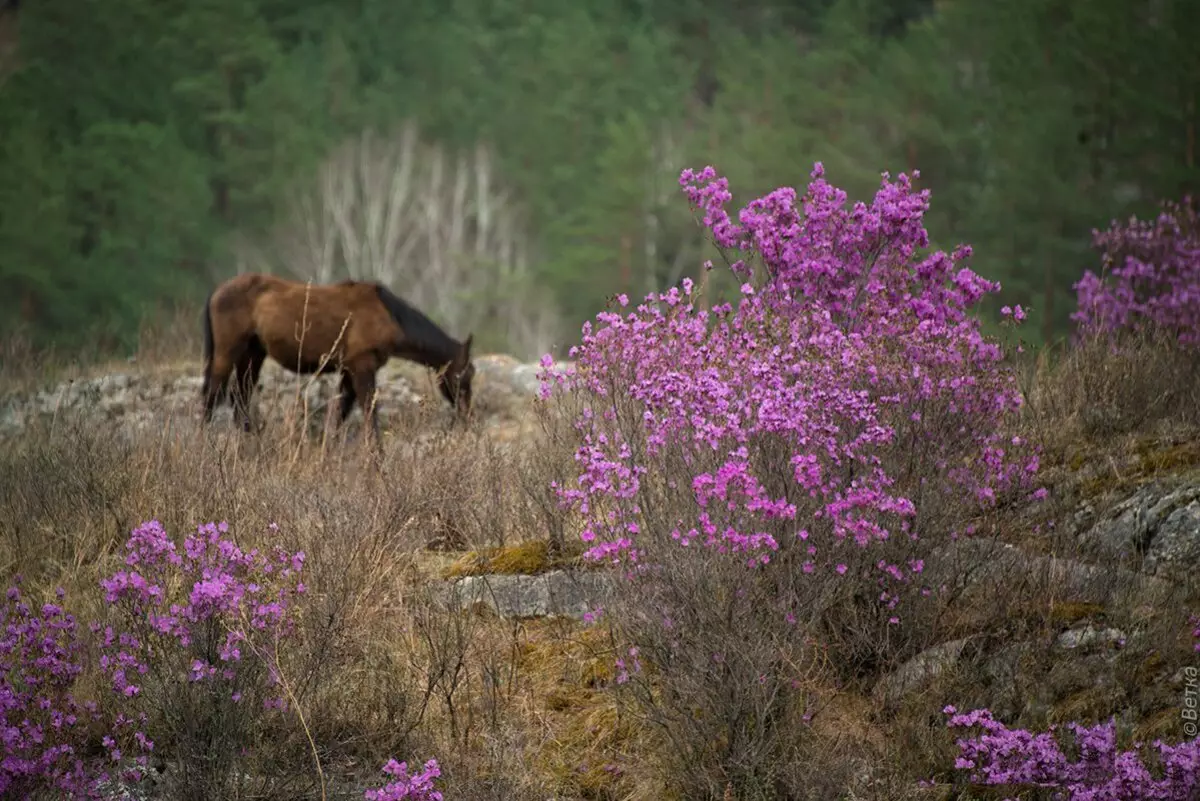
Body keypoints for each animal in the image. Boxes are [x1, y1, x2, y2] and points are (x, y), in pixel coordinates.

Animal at [200, 272, 472, 441]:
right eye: (465, 374)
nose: (466, 414)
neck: (389, 315)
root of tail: (216, 292)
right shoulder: (362, 367)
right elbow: (368, 412)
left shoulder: (349, 371)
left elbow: (341, 412)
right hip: (227, 352)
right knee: (212, 395)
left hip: (253, 354)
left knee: (239, 397)